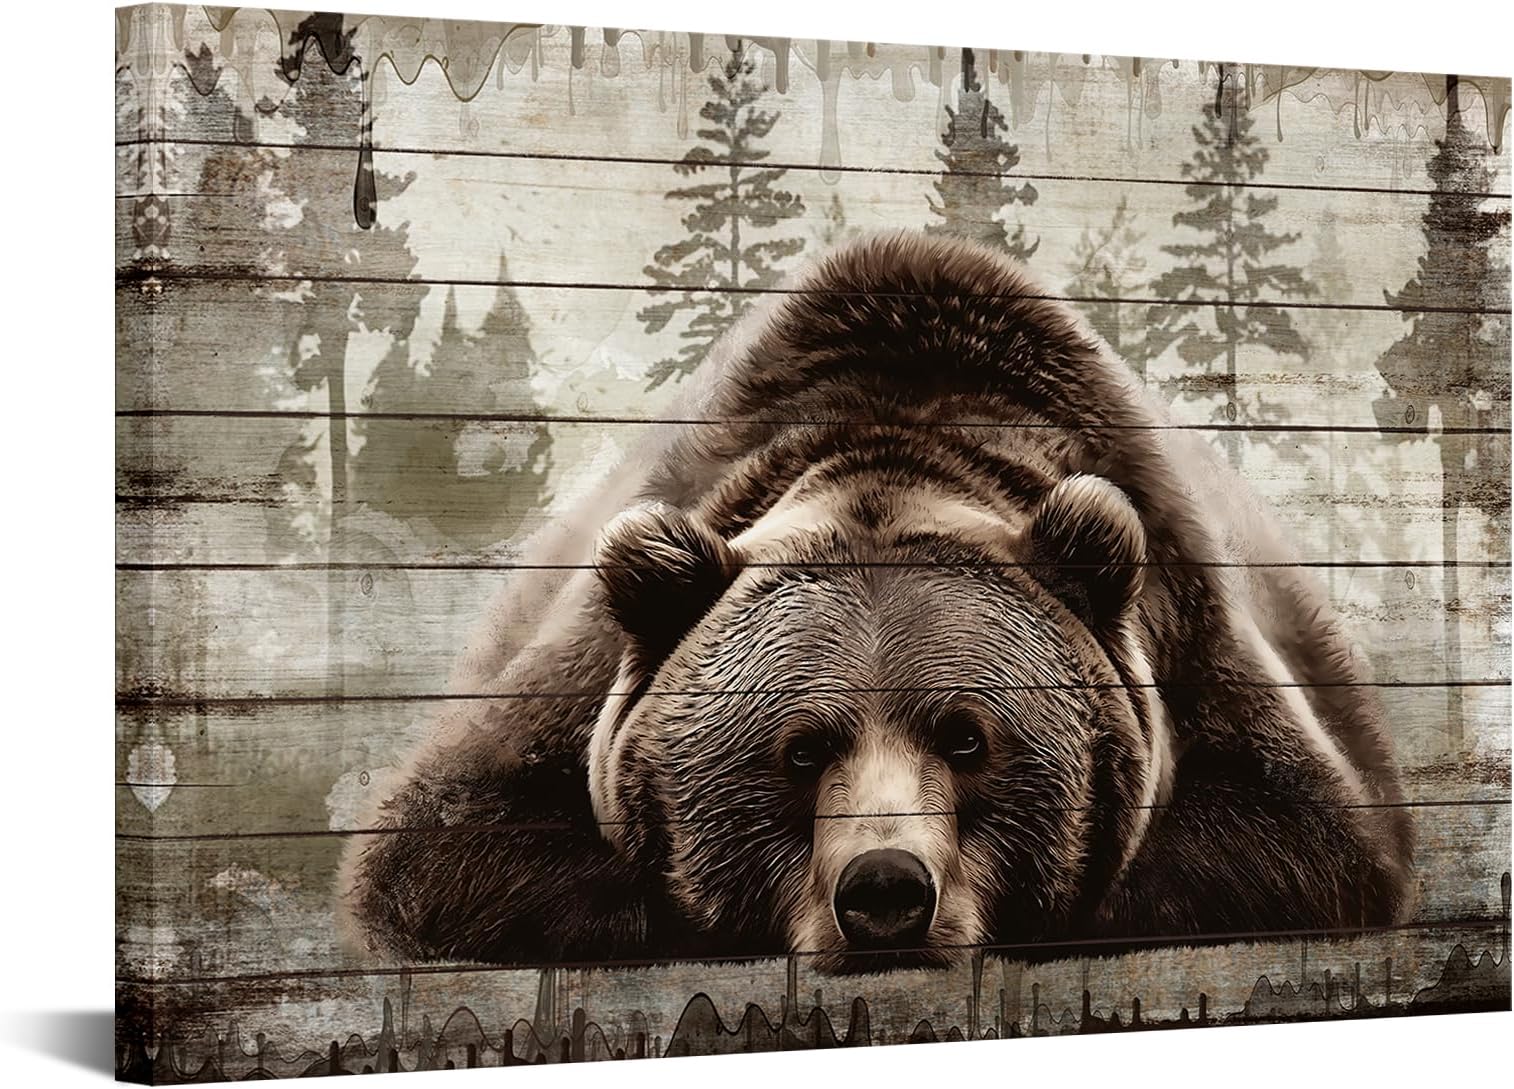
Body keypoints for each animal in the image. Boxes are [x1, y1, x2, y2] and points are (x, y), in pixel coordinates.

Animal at [337, 231, 1414, 975]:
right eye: (800, 746)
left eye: (968, 736)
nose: (886, 889)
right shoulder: (582, 674)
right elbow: (450, 842)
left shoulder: (1186, 626)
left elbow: (1293, 835)